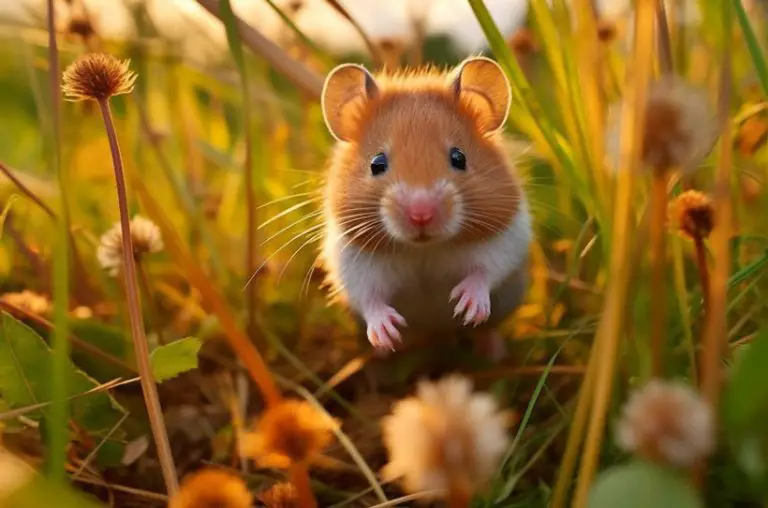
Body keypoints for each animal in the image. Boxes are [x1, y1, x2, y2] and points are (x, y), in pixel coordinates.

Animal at [318, 56, 532, 356]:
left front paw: (465, 306)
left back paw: (493, 353)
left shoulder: (506, 237)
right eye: (377, 163)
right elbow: (369, 297)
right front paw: (386, 333)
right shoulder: (352, 259)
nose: (421, 215)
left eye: (459, 158)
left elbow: (485, 270)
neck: (423, 248)